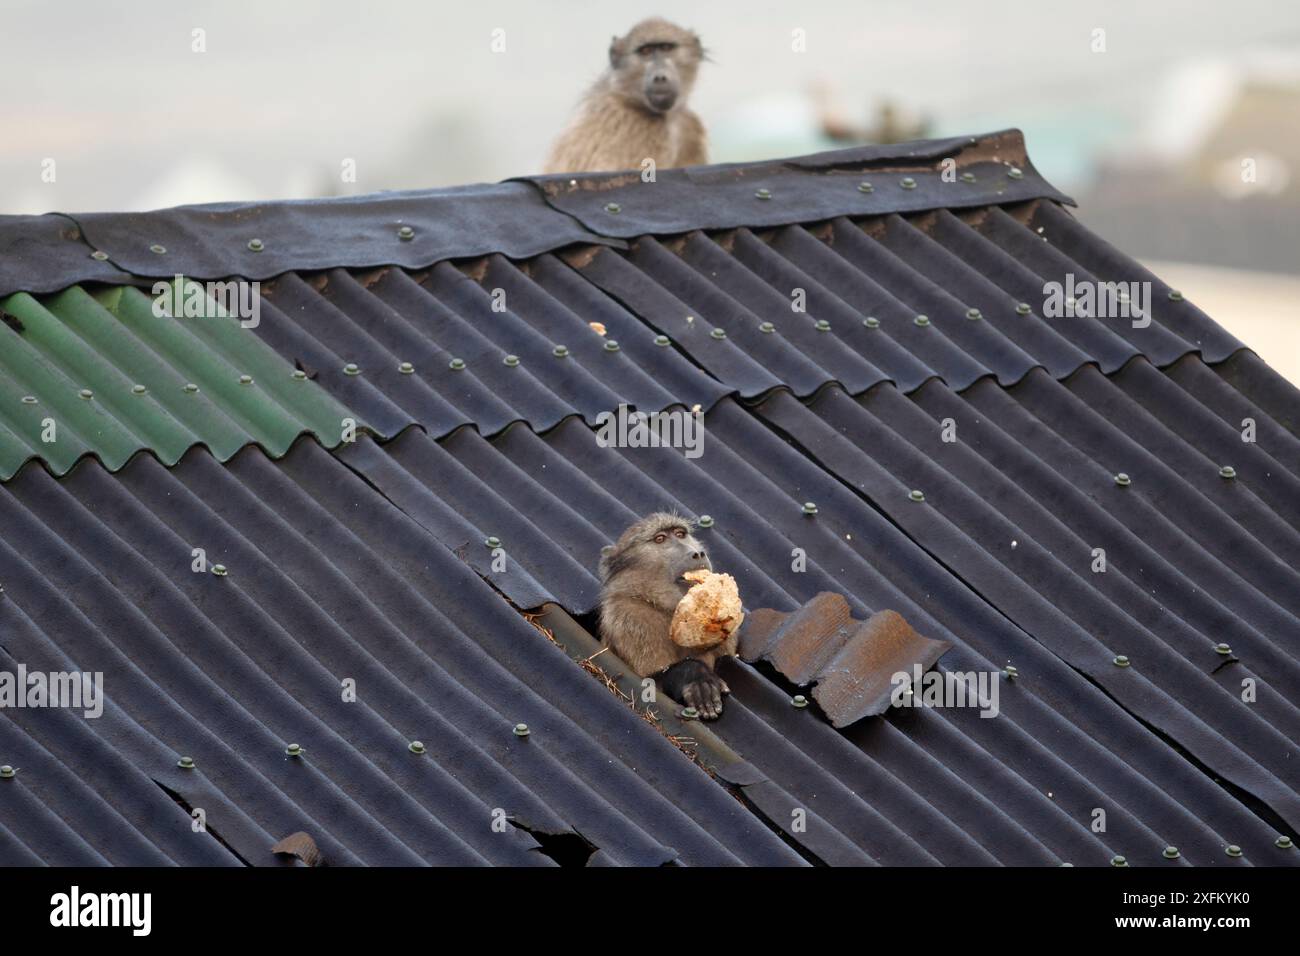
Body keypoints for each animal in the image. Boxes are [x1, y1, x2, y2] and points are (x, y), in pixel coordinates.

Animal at [597, 513, 739, 720]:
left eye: (680, 534)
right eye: (660, 539)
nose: (697, 553)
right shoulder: (630, 617)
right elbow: (646, 681)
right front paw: (695, 677)